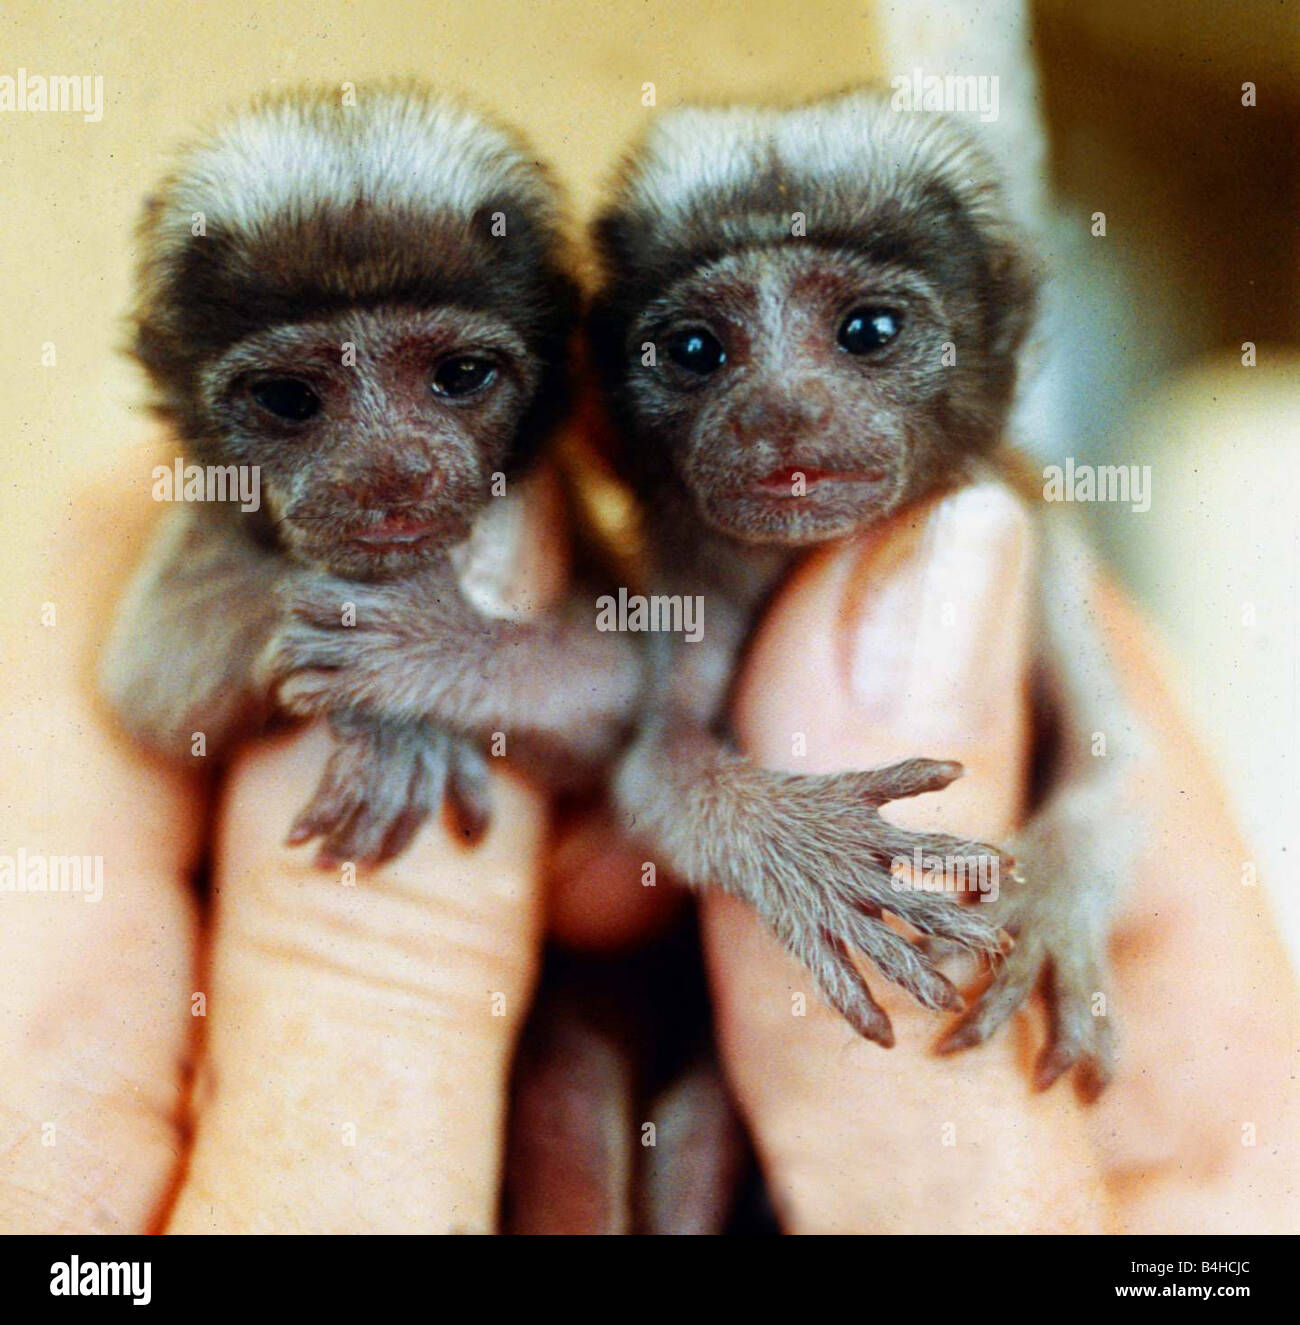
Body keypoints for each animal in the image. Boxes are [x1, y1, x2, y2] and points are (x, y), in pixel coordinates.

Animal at [100, 85, 644, 865]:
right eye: (288, 398)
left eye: (460, 375)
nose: (391, 475)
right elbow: (147, 682)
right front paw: (396, 732)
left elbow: (617, 700)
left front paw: (430, 651)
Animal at [586, 89, 1150, 1096]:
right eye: (695, 349)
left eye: (869, 332)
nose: (781, 411)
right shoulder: (691, 577)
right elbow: (660, 768)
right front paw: (810, 849)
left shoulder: (1041, 542)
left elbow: (1112, 762)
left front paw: (1047, 904)